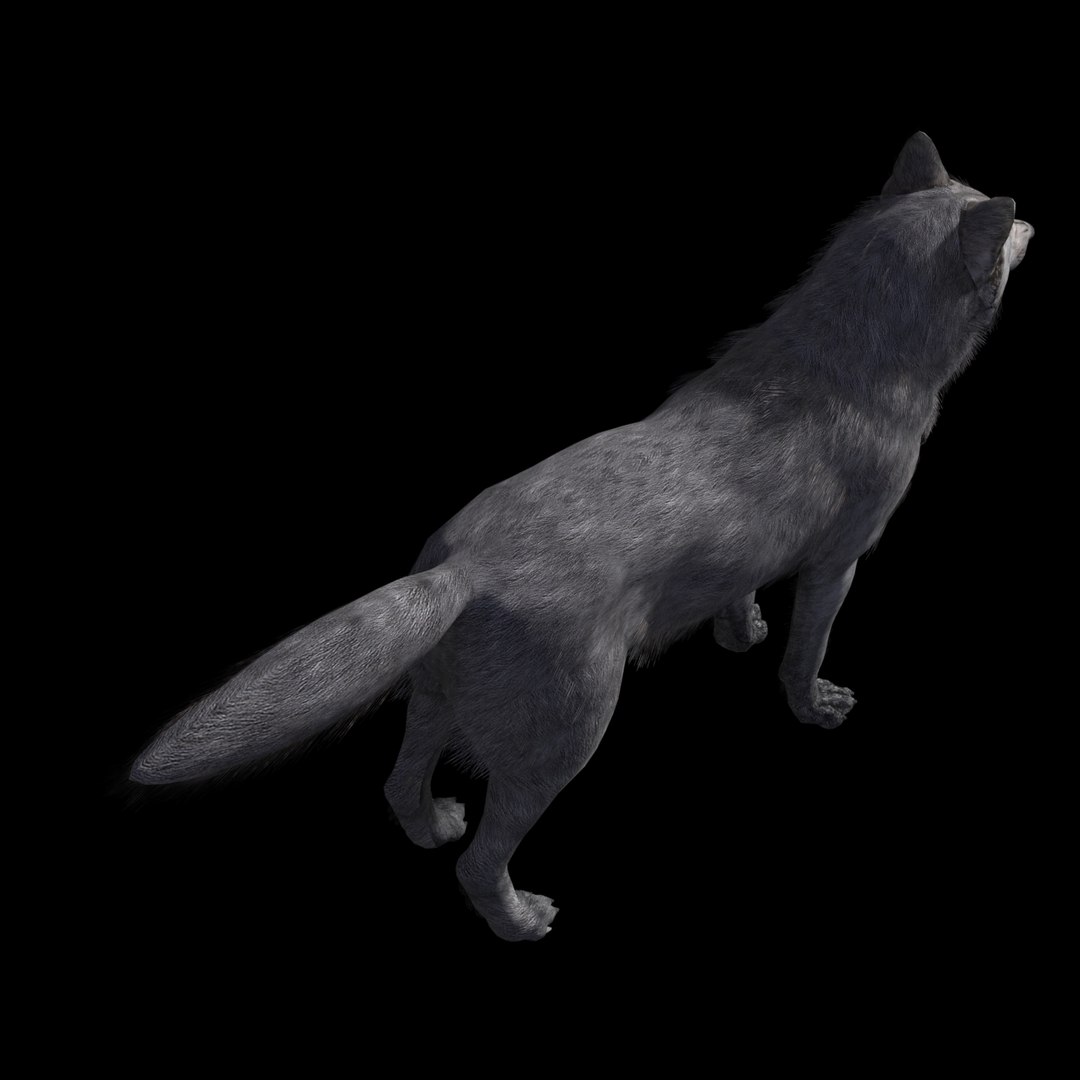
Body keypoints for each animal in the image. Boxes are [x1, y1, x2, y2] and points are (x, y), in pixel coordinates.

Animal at [130, 133, 1032, 941]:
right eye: (1001, 219)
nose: (1032, 220)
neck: (844, 359)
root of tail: (460, 567)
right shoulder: (838, 561)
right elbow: (804, 653)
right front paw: (815, 705)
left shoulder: (755, 552)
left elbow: (738, 597)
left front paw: (742, 633)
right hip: (566, 741)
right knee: (479, 861)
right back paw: (522, 920)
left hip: (437, 703)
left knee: (400, 784)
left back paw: (434, 825)